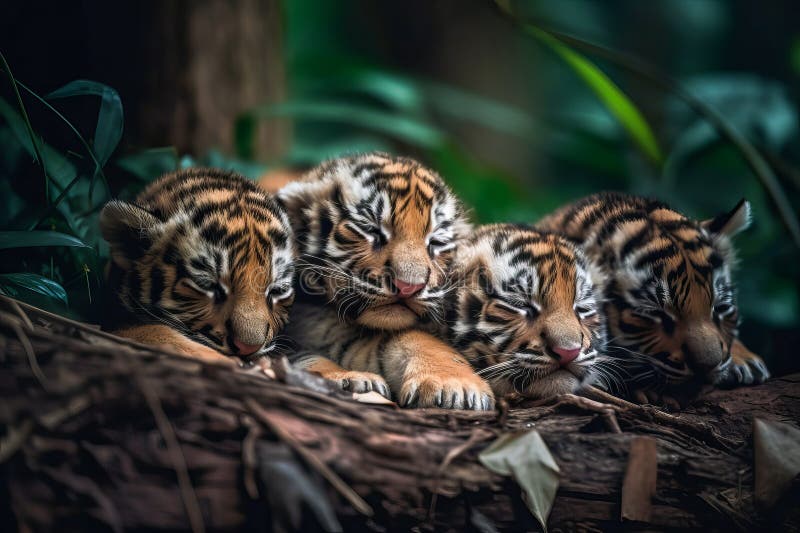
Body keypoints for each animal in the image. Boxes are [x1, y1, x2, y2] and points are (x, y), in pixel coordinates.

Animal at [276, 152, 495, 410]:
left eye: (435, 243)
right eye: (371, 230)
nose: (408, 287)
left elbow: (418, 340)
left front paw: (455, 384)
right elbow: (303, 357)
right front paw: (349, 378)